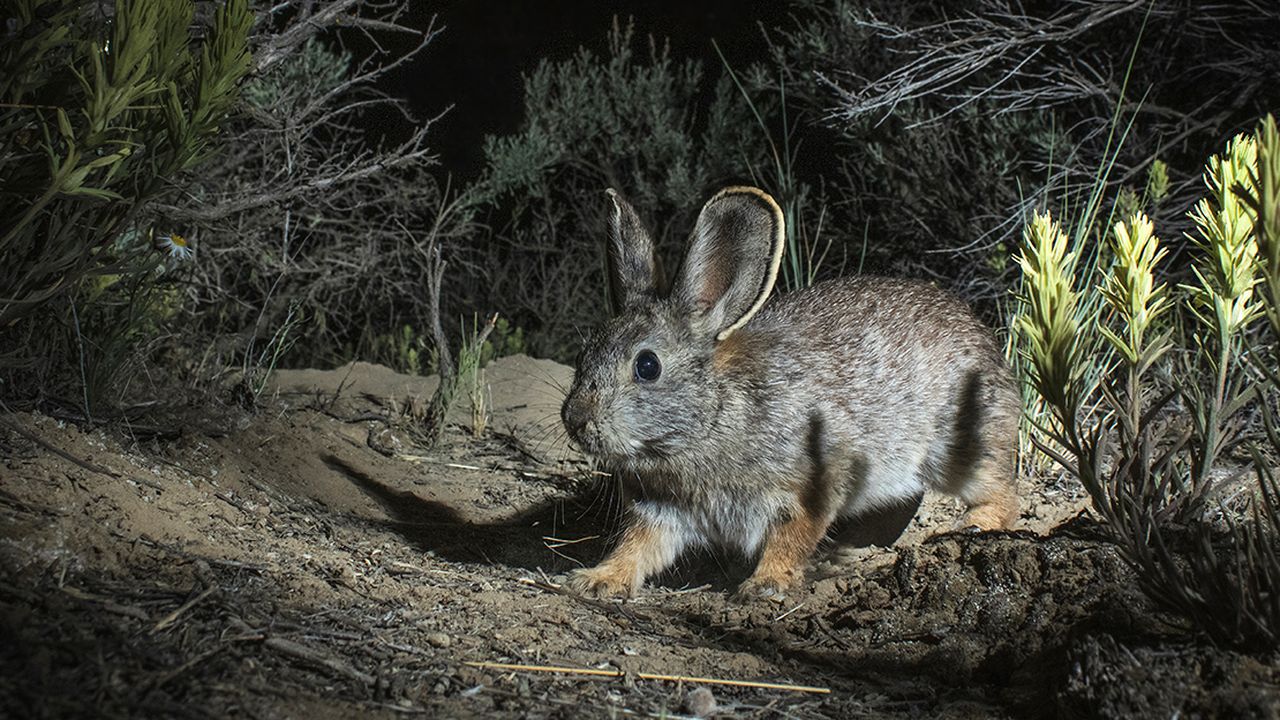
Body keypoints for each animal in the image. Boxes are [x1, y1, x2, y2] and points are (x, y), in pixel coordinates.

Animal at [560, 185, 1019, 600]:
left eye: (647, 366)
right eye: (585, 353)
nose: (575, 419)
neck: (713, 420)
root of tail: (983, 338)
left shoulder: (810, 485)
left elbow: (792, 537)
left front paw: (766, 583)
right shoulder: (662, 510)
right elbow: (638, 547)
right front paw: (597, 579)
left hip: (960, 448)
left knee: (1000, 490)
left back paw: (973, 524)